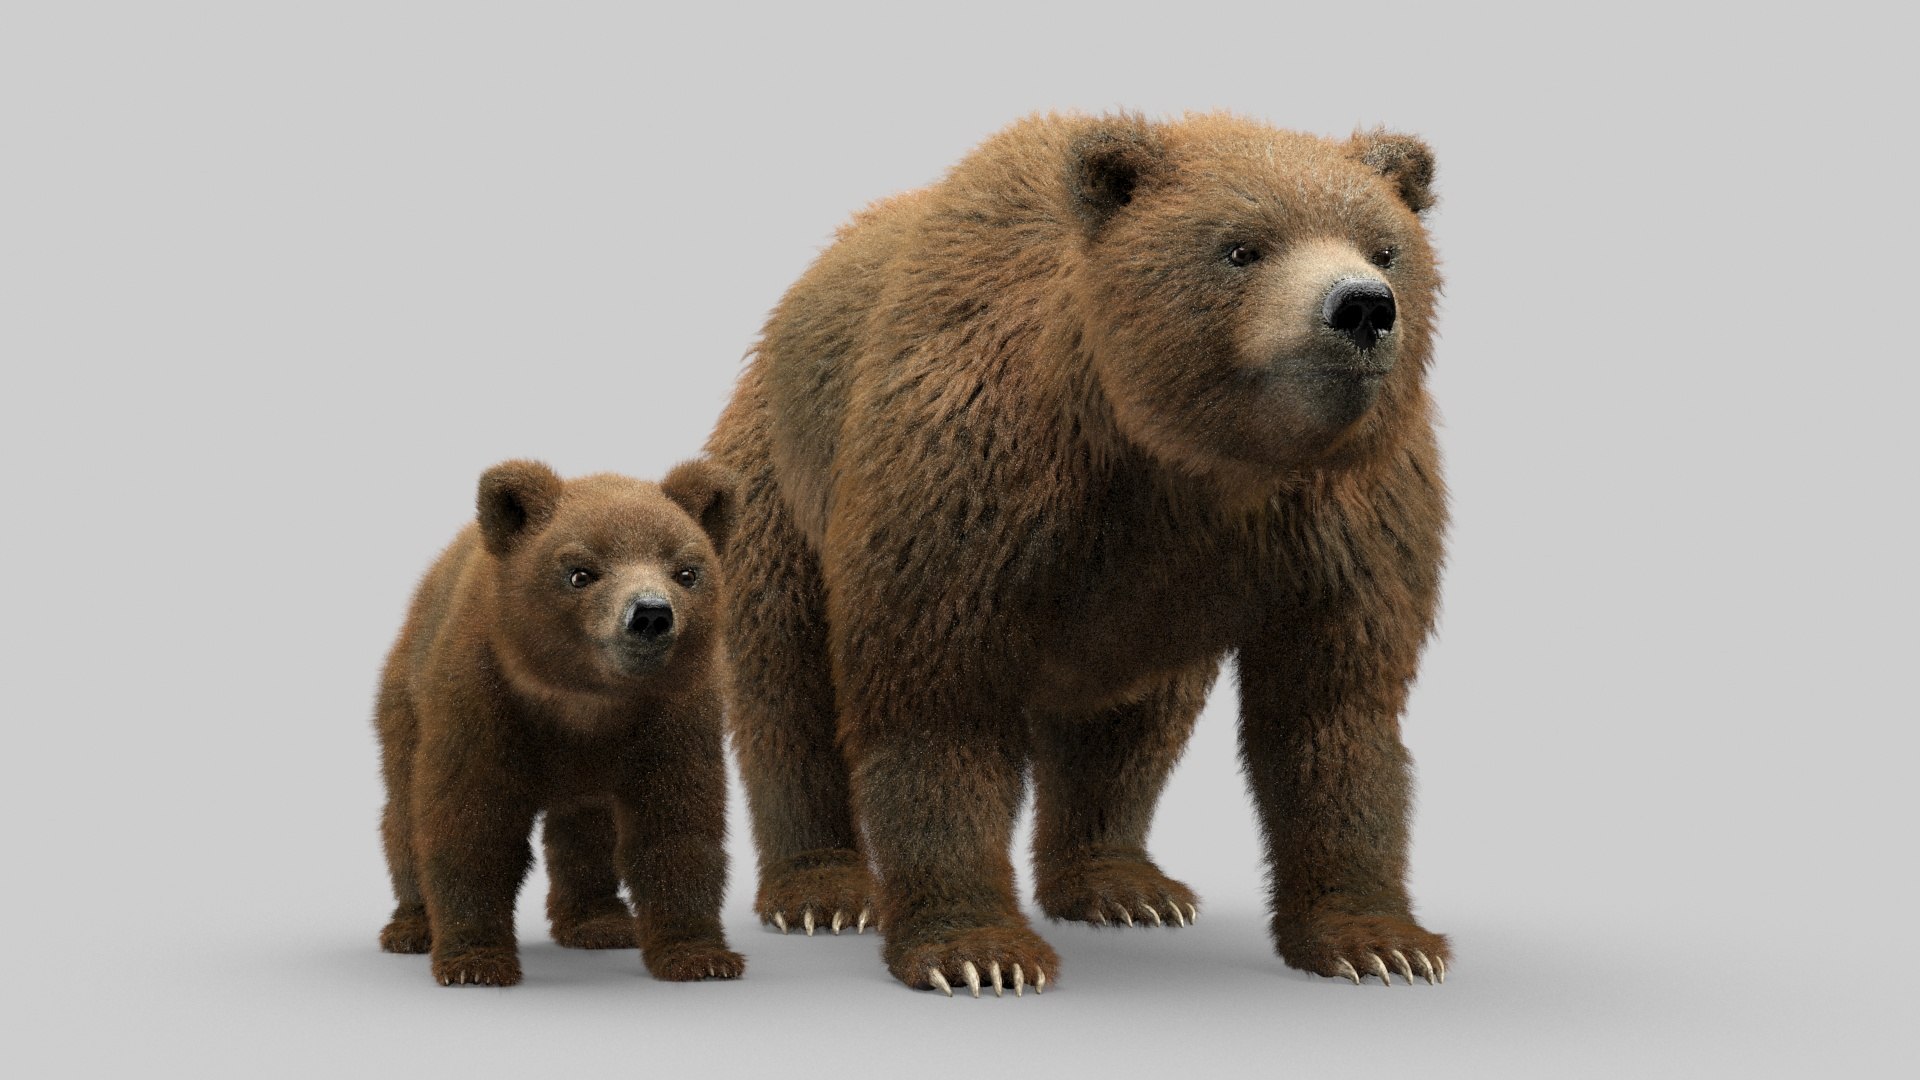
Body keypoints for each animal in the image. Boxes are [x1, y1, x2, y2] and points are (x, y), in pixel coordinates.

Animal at [374, 458, 745, 987]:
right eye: (580, 573)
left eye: (687, 572)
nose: (651, 614)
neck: (582, 702)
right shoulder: (480, 701)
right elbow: (469, 825)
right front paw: (475, 962)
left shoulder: (673, 717)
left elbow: (676, 827)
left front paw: (700, 955)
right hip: (404, 699)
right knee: (403, 813)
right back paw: (411, 926)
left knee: (586, 829)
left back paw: (600, 922)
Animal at [707, 111, 1451, 996]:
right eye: (1241, 247)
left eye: (1385, 247)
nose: (1362, 307)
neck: (1179, 461)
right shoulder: (971, 473)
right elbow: (936, 696)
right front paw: (979, 952)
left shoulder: (1340, 524)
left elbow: (1333, 713)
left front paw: (1380, 941)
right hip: (775, 492)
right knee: (786, 688)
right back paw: (822, 890)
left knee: (1131, 726)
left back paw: (1122, 884)